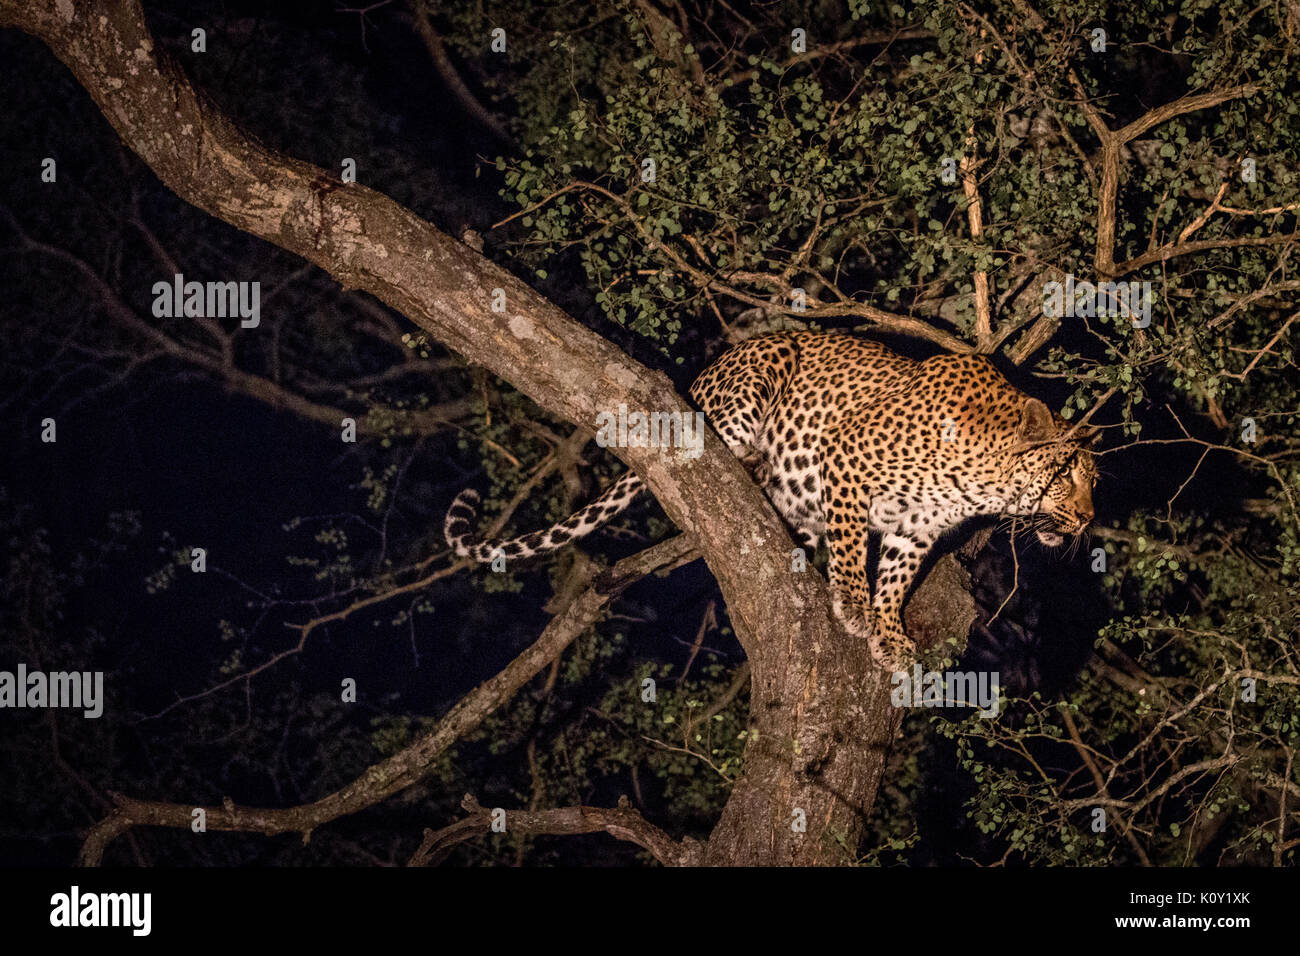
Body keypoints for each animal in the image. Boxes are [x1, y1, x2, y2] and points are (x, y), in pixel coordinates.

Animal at [444, 329, 1098, 671]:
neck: (981, 482)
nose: (1089, 519)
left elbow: (896, 579)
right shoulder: (847, 459)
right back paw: (746, 464)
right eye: (1067, 474)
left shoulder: (916, 529)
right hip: (759, 371)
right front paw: (852, 606)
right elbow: (852, 550)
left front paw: (888, 633)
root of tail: (703, 375)